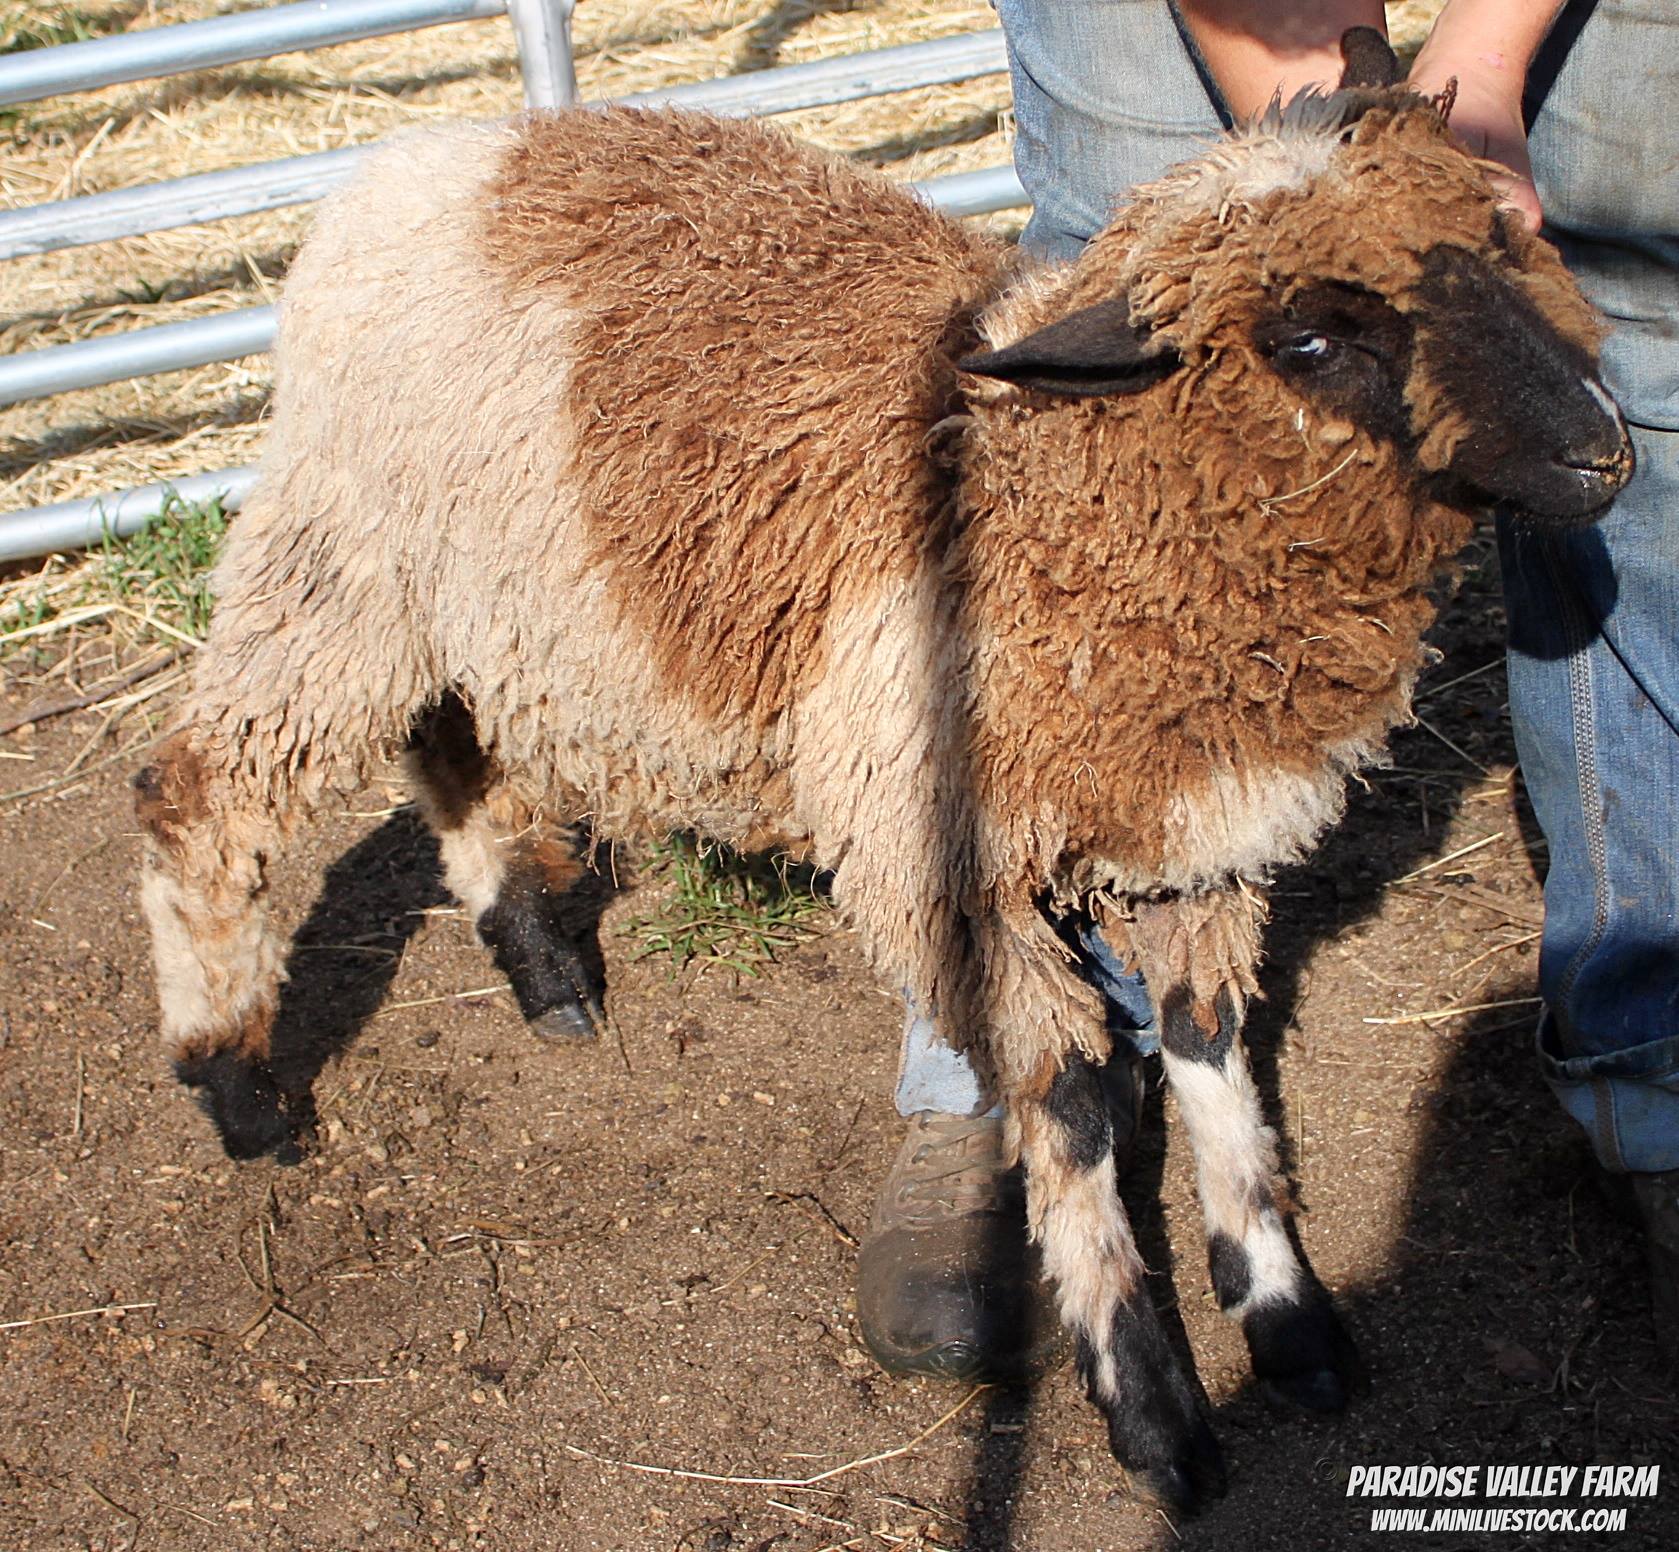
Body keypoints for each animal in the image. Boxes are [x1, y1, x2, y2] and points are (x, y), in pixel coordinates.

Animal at [134, 29, 1631, 1510]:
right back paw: (235, 1087)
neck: (1053, 501)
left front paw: (1282, 1313)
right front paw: (1150, 1408)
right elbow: (1068, 1108)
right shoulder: (948, 856)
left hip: (459, 593)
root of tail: (432, 158)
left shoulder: (1197, 830)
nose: (1602, 453)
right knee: (197, 786)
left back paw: (543, 967)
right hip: (340, 553)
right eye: (1309, 336)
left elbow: (1209, 1049)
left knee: (443, 745)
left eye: (1502, 238)